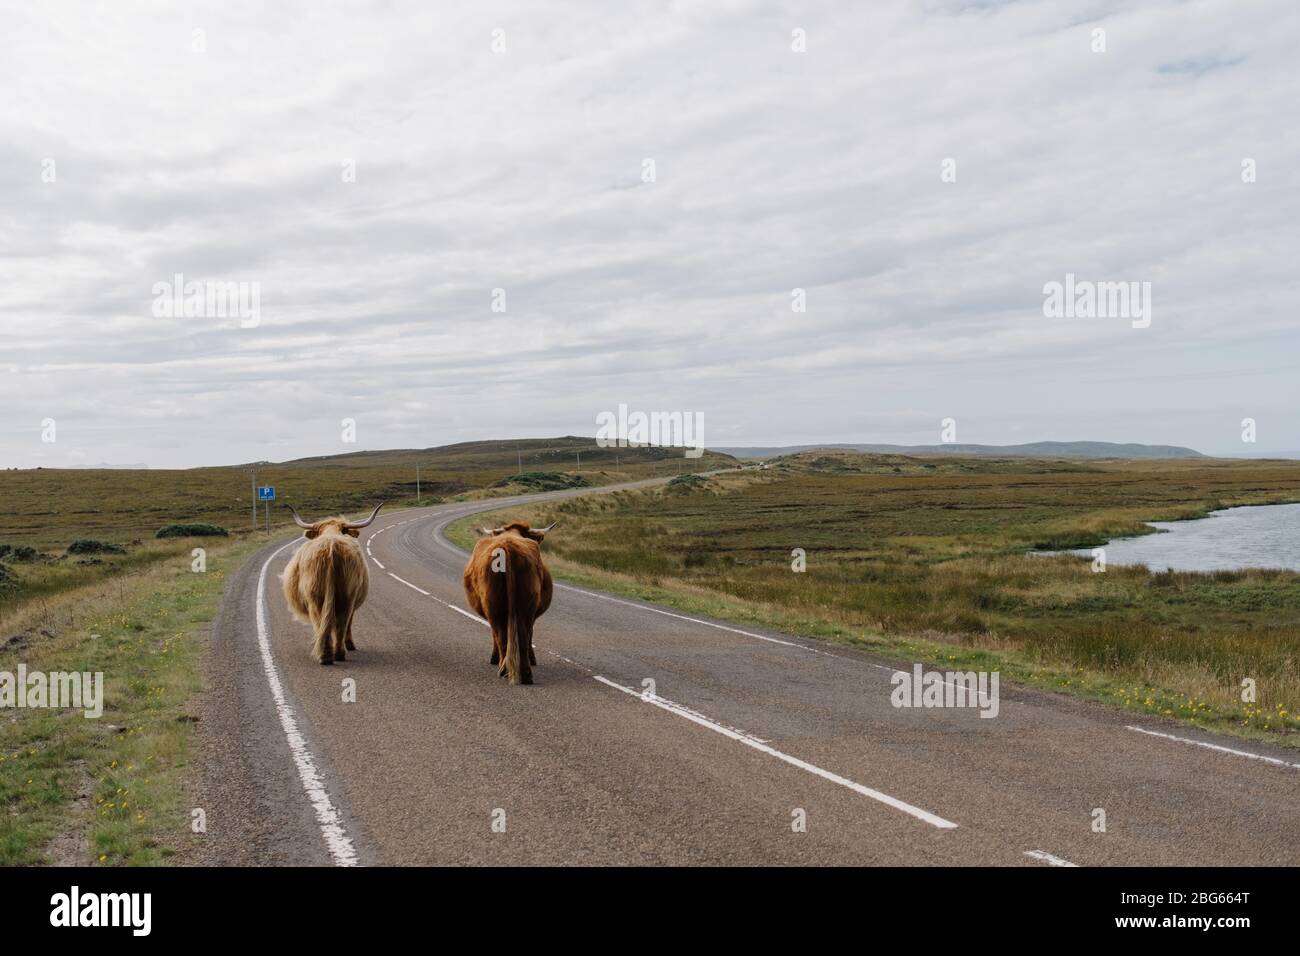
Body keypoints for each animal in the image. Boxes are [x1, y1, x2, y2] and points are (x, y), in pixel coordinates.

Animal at [281, 503, 383, 665]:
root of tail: (331, 546)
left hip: (317, 599)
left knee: (324, 622)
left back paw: (326, 655)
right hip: (346, 597)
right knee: (341, 623)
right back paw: (338, 653)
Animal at [463, 521, 556, 685]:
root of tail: (508, 547)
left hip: (495, 607)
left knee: (502, 635)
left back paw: (505, 669)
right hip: (525, 608)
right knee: (523, 636)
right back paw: (524, 674)